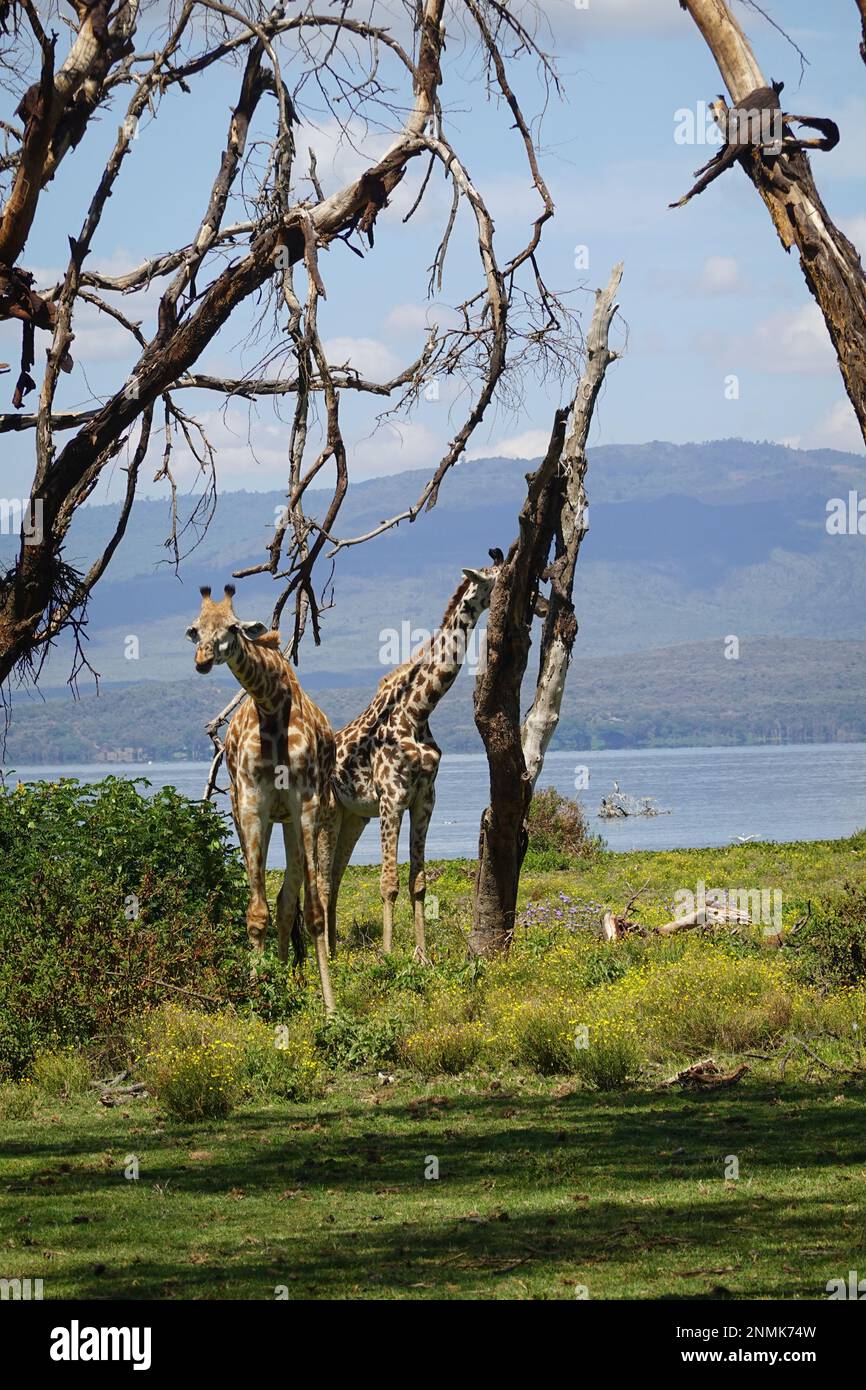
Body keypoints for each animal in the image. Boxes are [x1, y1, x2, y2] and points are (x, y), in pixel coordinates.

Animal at [185, 584, 336, 1013]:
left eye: (233, 629)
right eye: (196, 629)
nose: (203, 660)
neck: (271, 705)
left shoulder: (307, 803)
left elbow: (313, 911)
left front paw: (330, 1007)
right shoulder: (252, 805)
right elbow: (256, 912)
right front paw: (257, 997)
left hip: (302, 818)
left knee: (291, 902)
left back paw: (289, 981)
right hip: (258, 814)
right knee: (279, 903)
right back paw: (279, 982)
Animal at [324, 564, 498, 961]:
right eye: (494, 577)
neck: (418, 711)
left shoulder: (424, 800)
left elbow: (417, 882)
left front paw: (422, 956)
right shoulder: (391, 800)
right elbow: (388, 882)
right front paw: (387, 957)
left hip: (352, 817)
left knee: (335, 878)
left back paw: (334, 952)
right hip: (324, 813)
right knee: (317, 880)